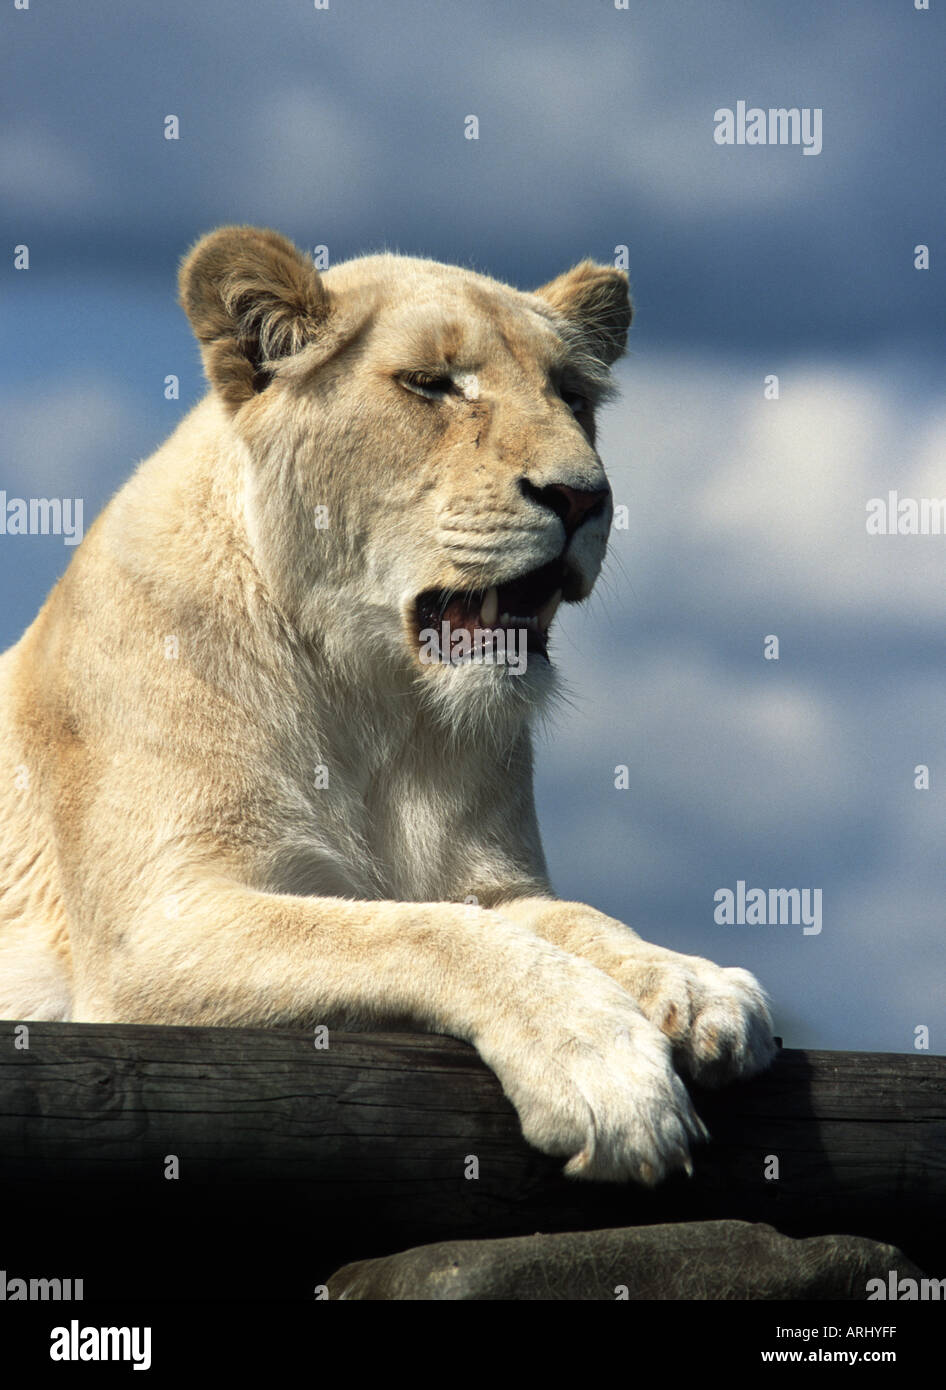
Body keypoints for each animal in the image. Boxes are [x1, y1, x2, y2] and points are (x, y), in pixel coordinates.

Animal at [0, 226, 774, 1184]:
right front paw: (602, 1064)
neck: (364, 694)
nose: (584, 496)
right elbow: (412, 932)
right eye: (433, 384)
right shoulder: (150, 934)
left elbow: (569, 919)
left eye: (573, 396)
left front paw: (696, 984)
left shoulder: (493, 881)